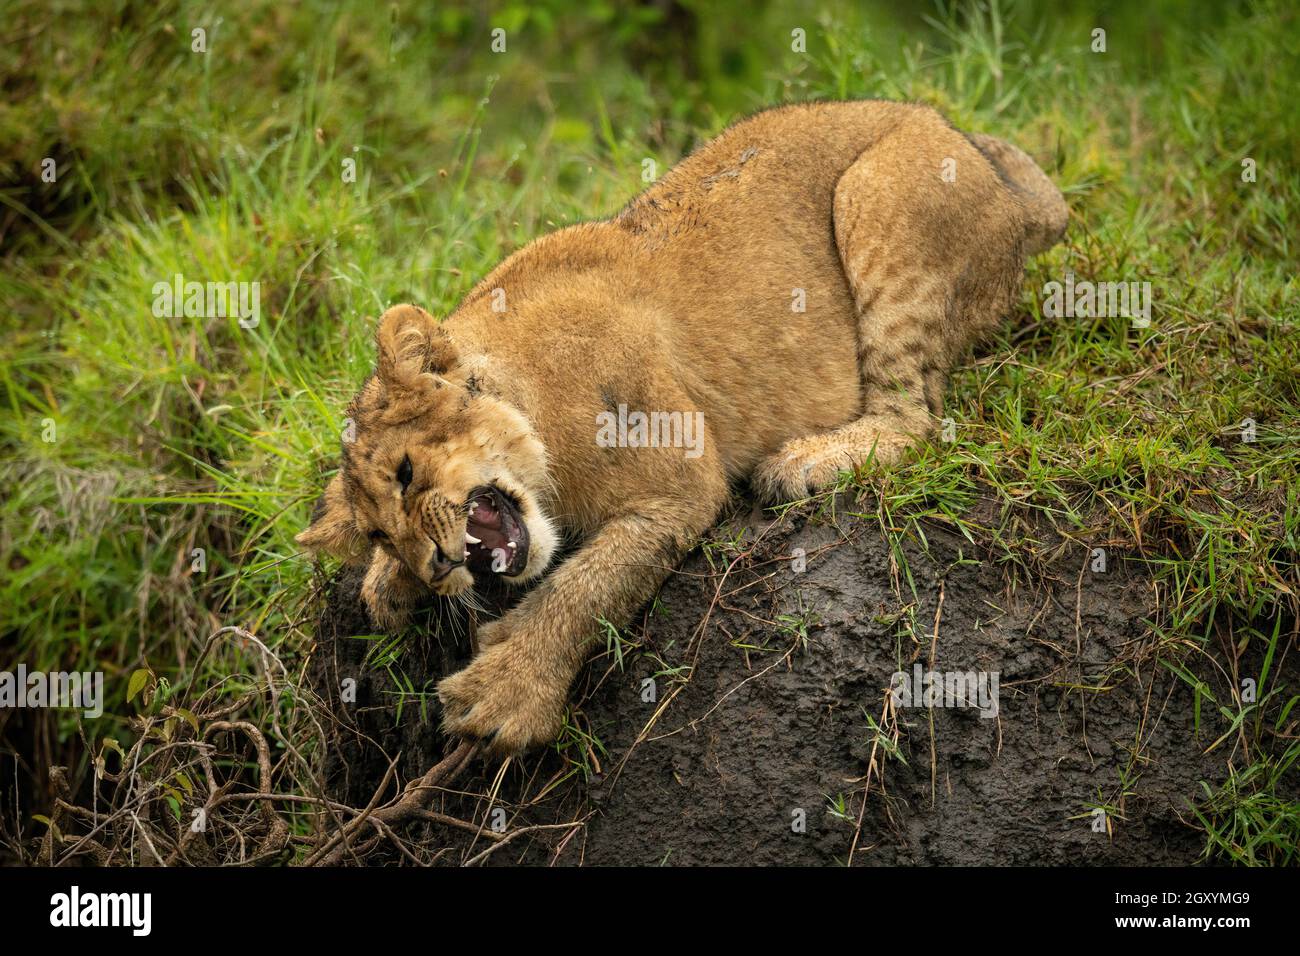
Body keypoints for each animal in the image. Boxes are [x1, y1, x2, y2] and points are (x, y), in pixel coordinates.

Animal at [297, 100, 1068, 754]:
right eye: (379, 533)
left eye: (406, 473)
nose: (434, 565)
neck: (535, 407)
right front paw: (386, 586)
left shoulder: (683, 480)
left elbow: (589, 586)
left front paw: (506, 691)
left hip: (880, 198)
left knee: (916, 417)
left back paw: (807, 462)